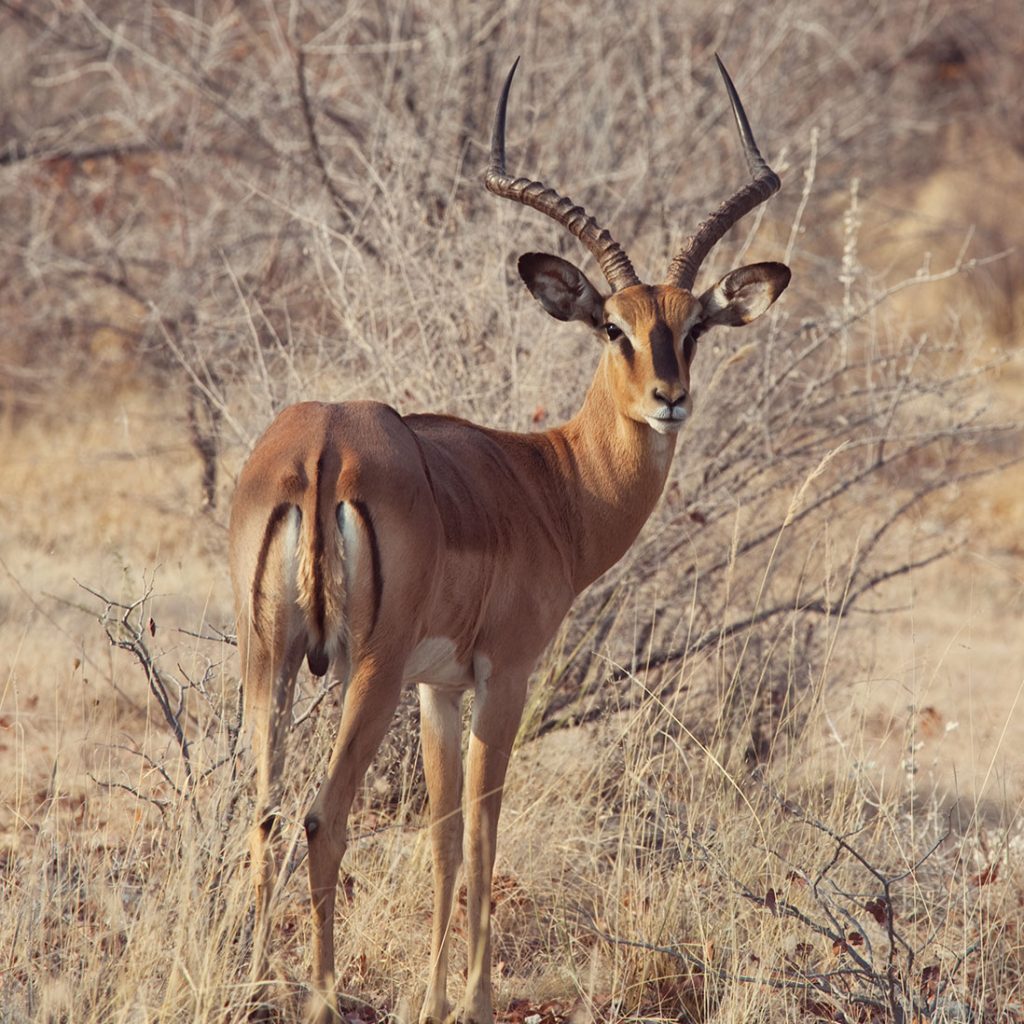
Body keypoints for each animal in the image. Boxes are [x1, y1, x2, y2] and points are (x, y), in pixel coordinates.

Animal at [229, 56, 790, 1024]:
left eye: (694, 326)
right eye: (614, 326)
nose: (670, 398)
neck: (550, 484)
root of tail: (321, 447)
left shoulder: (438, 690)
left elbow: (445, 839)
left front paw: (431, 999)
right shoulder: (506, 675)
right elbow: (487, 835)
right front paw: (474, 1001)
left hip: (270, 658)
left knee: (263, 813)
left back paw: (258, 983)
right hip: (365, 670)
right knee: (321, 817)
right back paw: (323, 994)